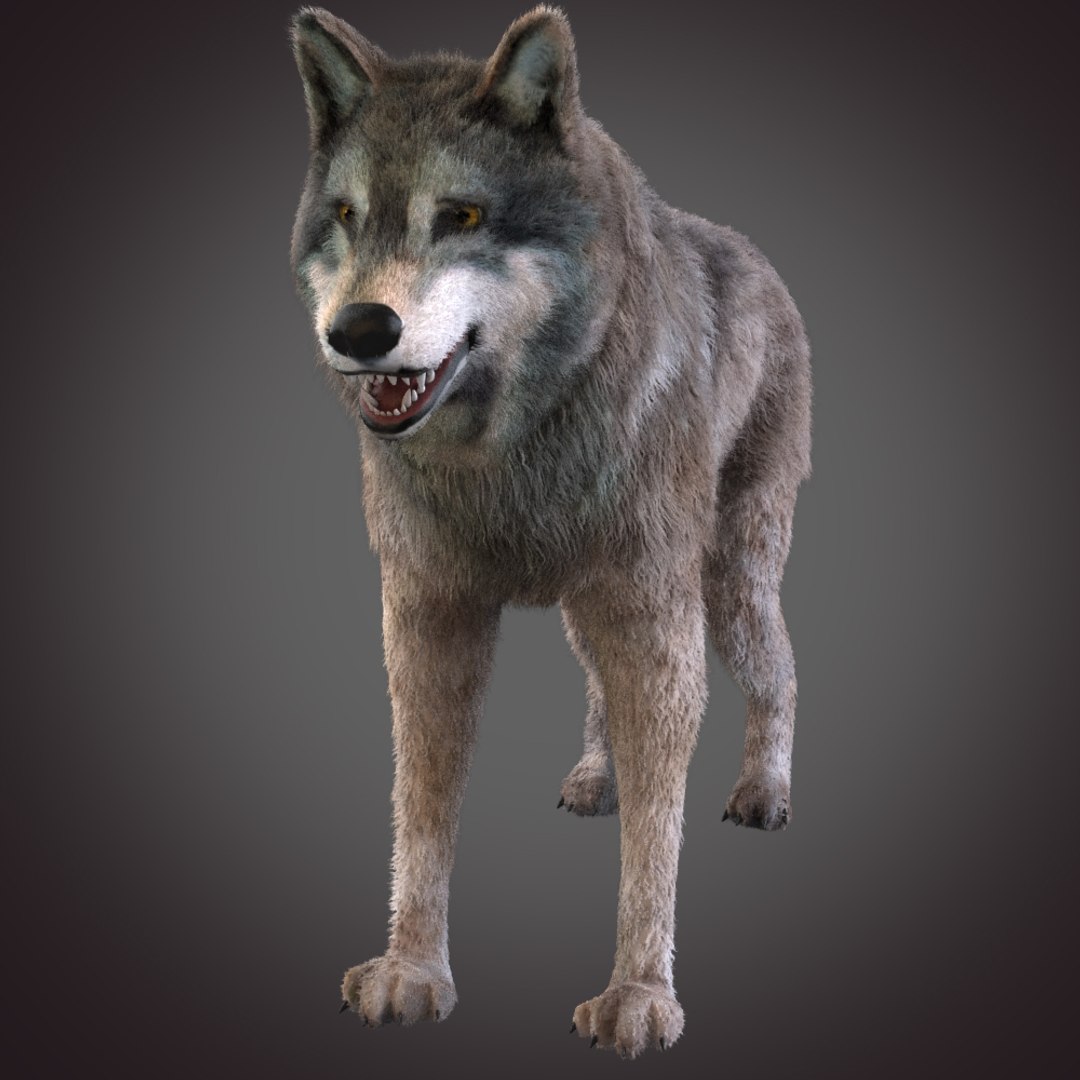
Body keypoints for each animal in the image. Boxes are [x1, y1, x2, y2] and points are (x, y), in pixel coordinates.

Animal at [290, 4, 811, 1058]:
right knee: (599, 692)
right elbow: (421, 813)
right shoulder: (428, 616)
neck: (508, 454)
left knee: (781, 672)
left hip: (729, 585)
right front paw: (411, 971)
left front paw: (639, 997)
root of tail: (759, 257)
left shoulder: (654, 619)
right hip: (593, 606)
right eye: (348, 217)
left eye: (462, 217)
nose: (358, 329)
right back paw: (594, 778)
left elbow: (657, 834)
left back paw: (765, 795)